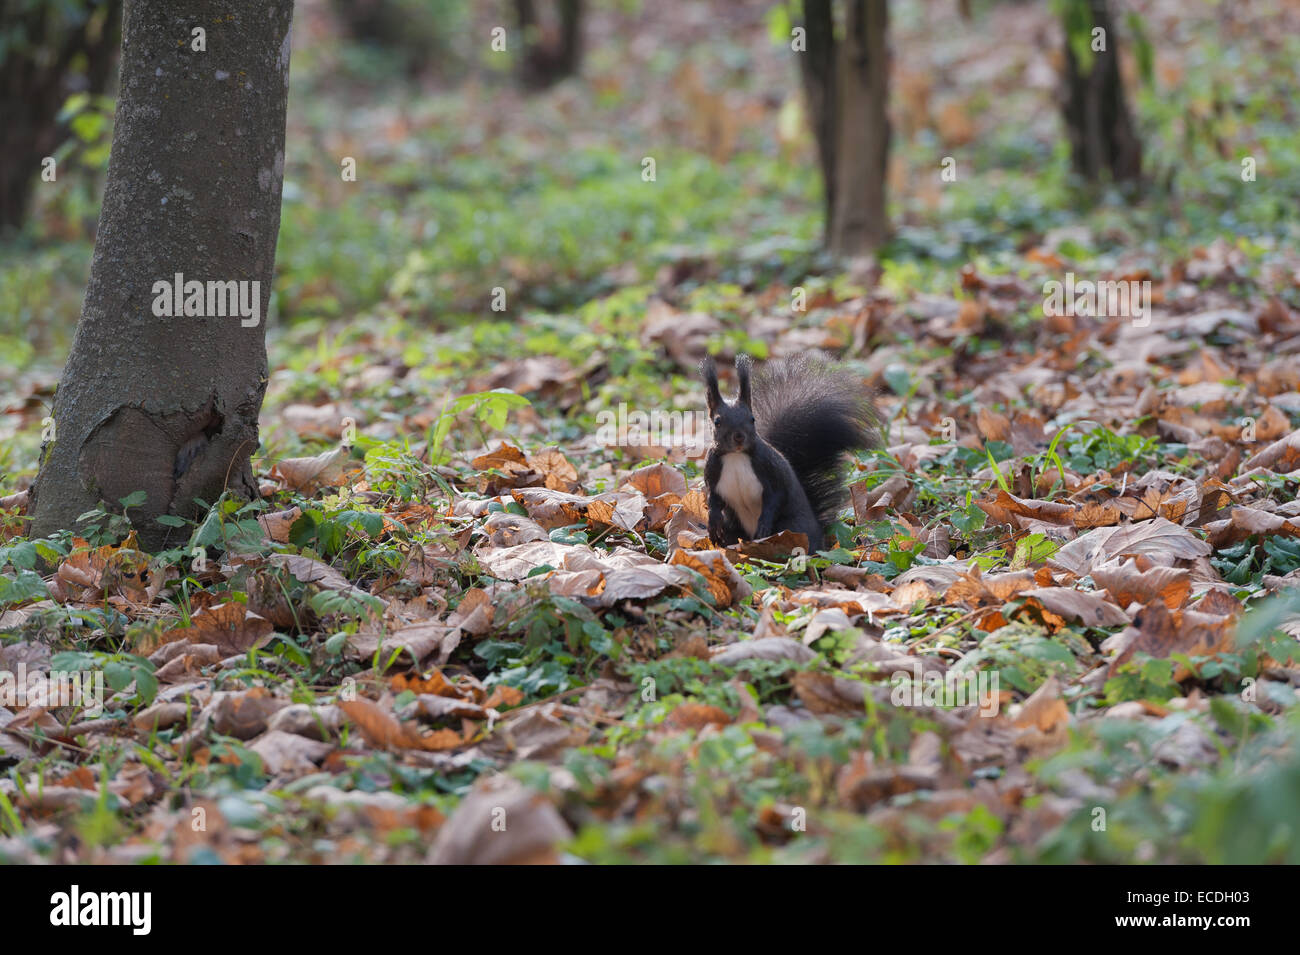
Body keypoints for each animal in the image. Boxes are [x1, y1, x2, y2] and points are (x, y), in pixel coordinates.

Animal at [700, 352, 878, 552]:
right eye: (717, 422)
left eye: (752, 419)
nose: (739, 437)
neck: (736, 456)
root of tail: (820, 535)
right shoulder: (712, 469)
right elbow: (713, 499)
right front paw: (713, 523)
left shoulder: (769, 468)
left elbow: (776, 496)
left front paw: (763, 523)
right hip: (734, 528)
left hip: (791, 527)